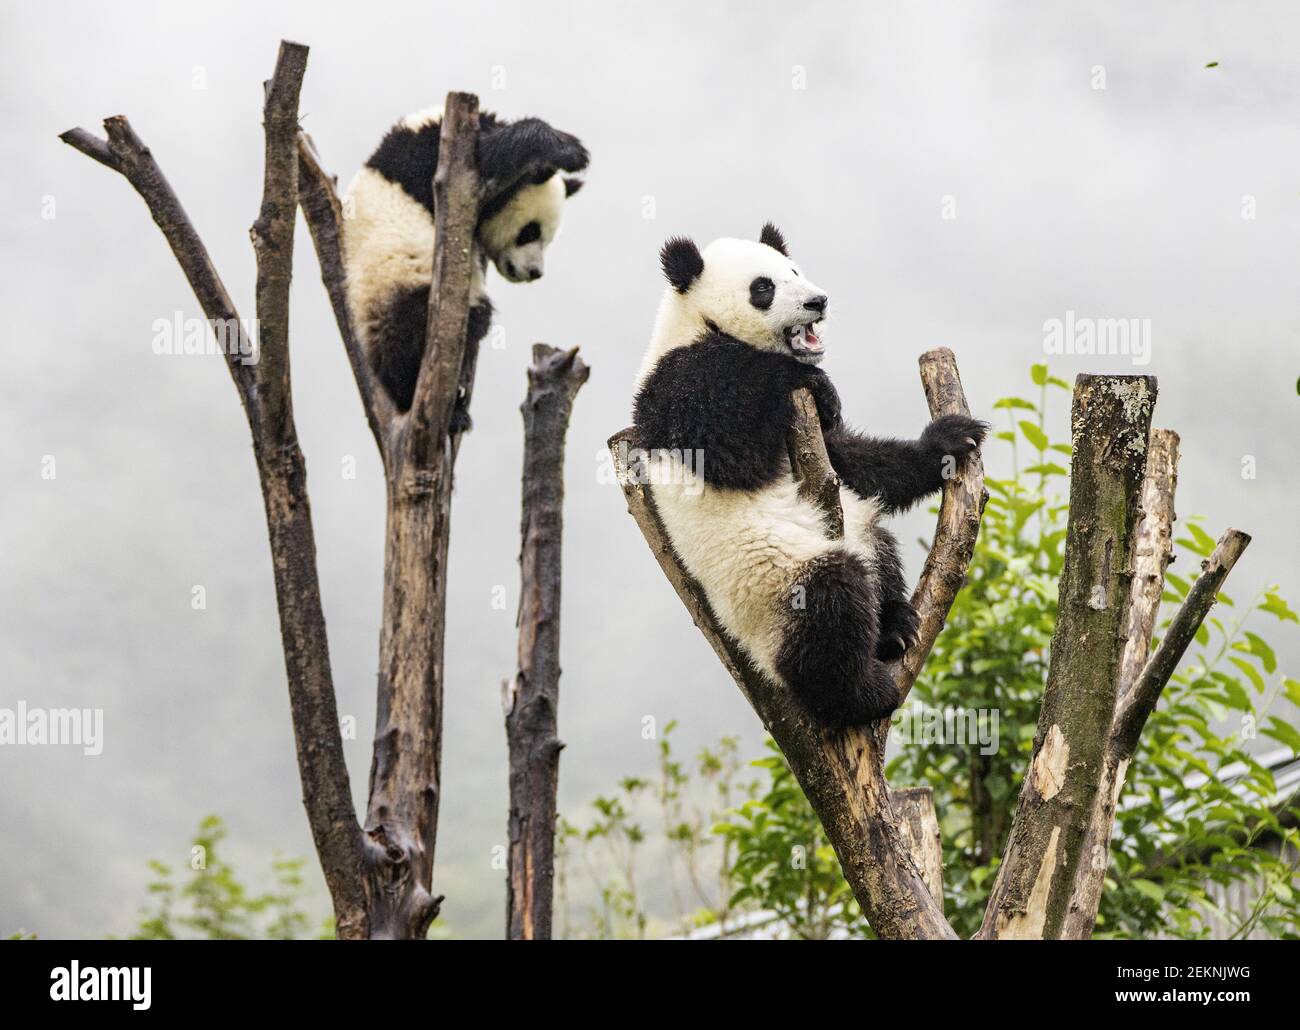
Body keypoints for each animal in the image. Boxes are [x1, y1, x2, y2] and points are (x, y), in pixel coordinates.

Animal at [342, 108, 588, 416]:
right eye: (530, 232)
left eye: (548, 240)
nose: (535, 272)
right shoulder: (438, 159)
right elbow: (488, 155)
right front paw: (570, 150)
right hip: (390, 281)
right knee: (404, 333)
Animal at [631, 224, 986, 727]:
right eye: (763, 287)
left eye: (795, 271)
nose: (817, 301)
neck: (699, 322)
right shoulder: (680, 380)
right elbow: (726, 451)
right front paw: (803, 377)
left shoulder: (814, 435)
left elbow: (852, 461)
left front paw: (950, 442)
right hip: (771, 589)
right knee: (829, 604)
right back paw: (861, 693)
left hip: (856, 532)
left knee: (878, 545)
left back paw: (894, 629)